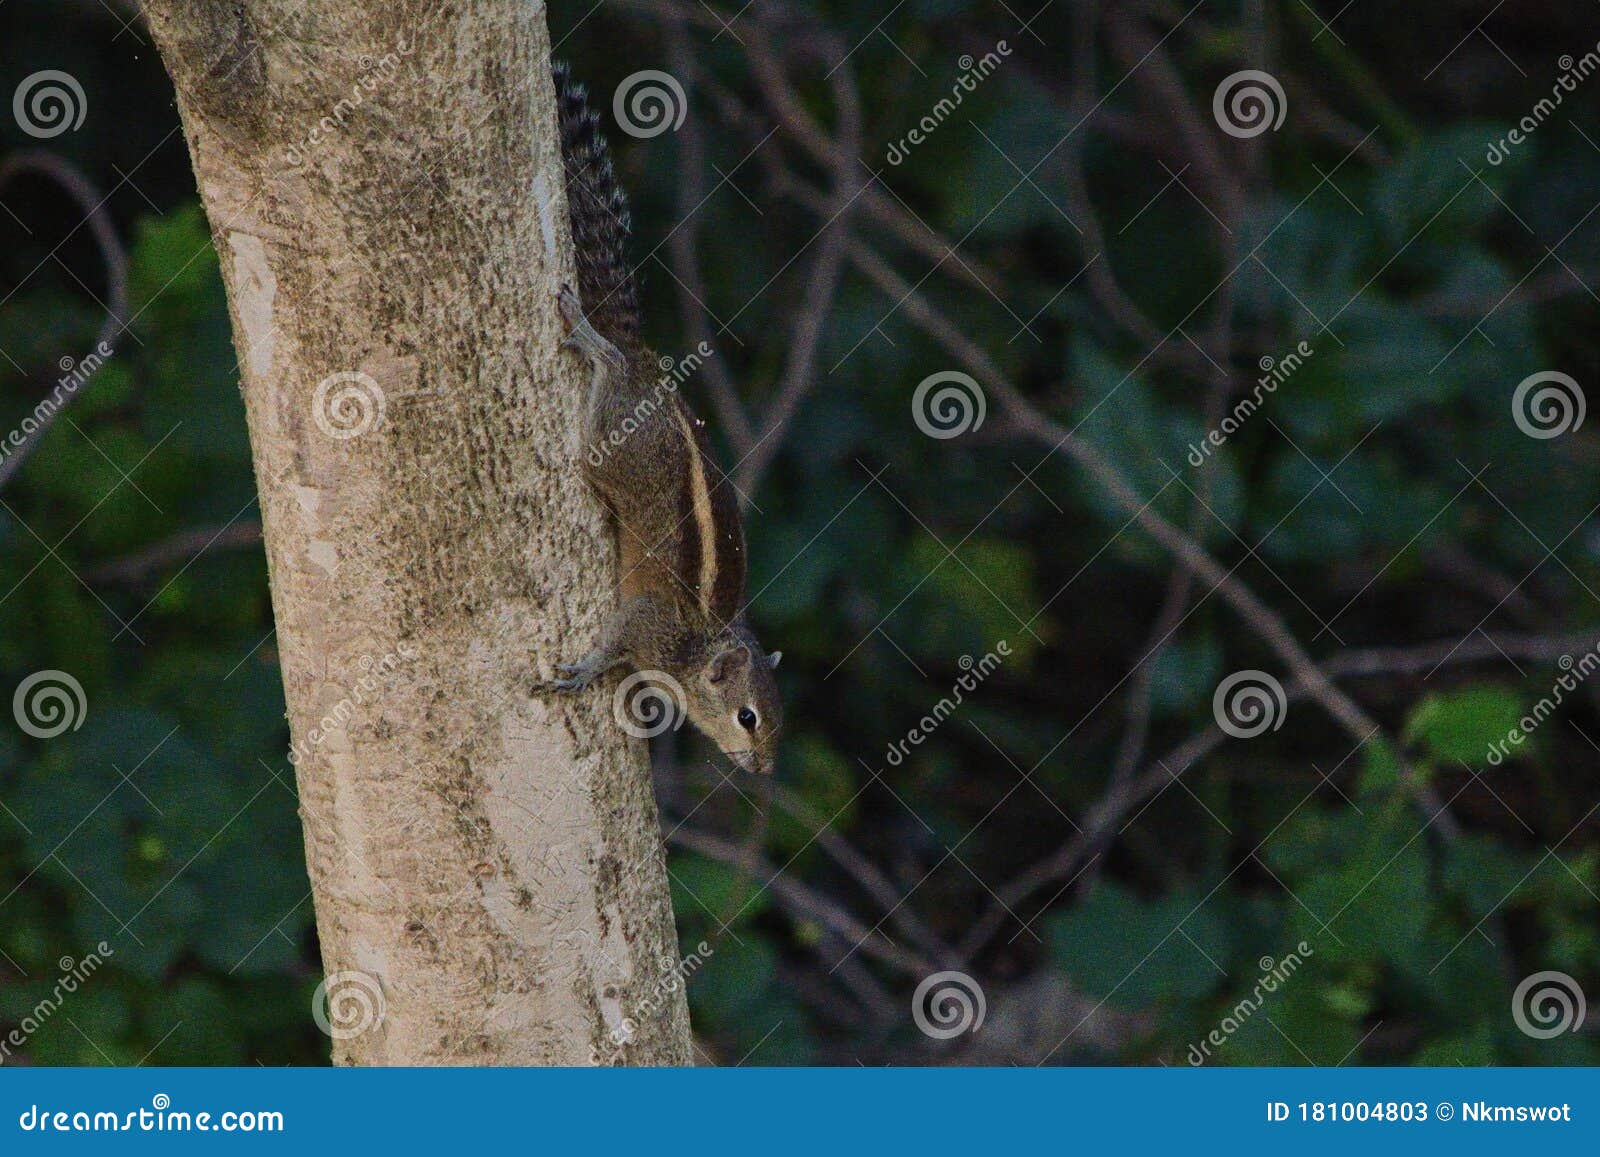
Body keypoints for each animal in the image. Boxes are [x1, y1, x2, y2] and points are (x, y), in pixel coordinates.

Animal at [534, 63, 783, 776]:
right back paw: (598, 343)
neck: (704, 646)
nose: (763, 770)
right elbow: (613, 642)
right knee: (611, 368)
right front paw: (582, 672)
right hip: (612, 442)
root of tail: (650, 366)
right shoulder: (648, 624)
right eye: (747, 717)